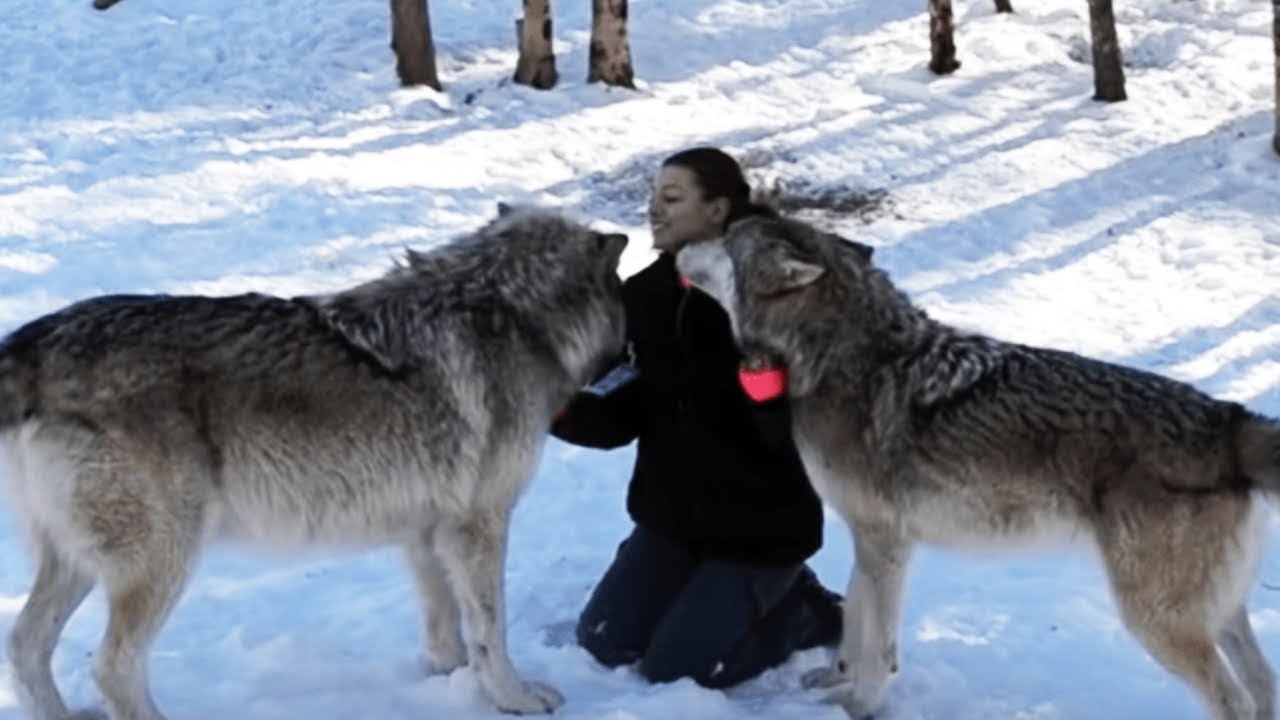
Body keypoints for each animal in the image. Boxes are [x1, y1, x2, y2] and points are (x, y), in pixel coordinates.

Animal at [0, 206, 628, 720]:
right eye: (629, 298)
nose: (633, 364)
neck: (511, 313)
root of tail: (30, 343)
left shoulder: (427, 532)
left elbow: (444, 622)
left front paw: (449, 678)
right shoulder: (481, 525)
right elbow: (490, 629)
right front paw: (513, 698)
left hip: (78, 563)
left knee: (25, 644)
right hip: (162, 559)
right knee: (112, 667)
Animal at [676, 214, 1280, 720]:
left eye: (725, 238)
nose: (677, 246)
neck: (839, 356)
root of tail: (1231, 420)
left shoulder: (885, 543)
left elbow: (876, 644)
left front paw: (858, 708)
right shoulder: (871, 540)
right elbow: (852, 622)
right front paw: (834, 679)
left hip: (1156, 621)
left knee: (1236, 703)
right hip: (1218, 614)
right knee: (1263, 688)